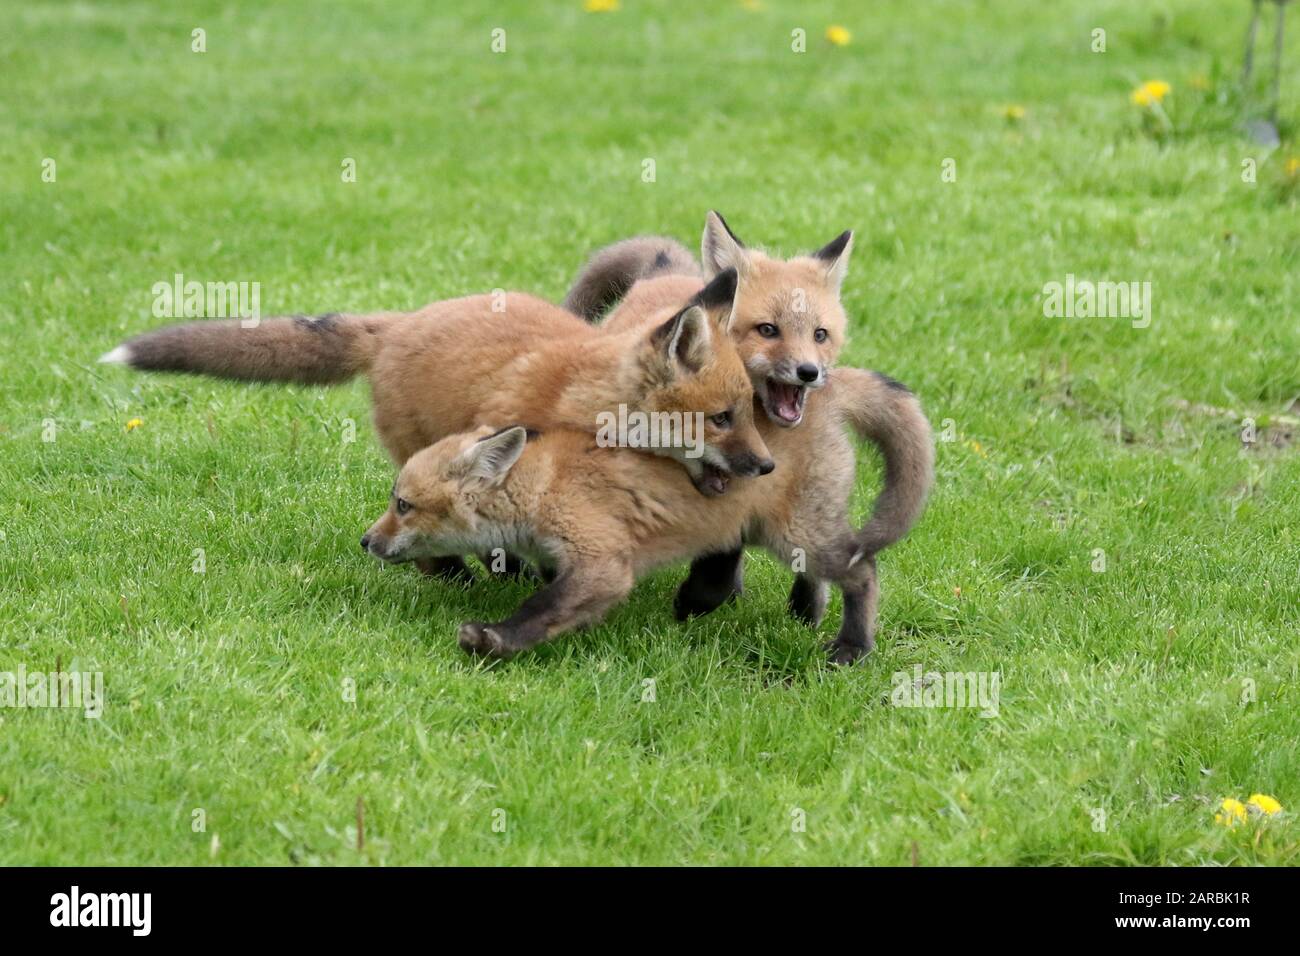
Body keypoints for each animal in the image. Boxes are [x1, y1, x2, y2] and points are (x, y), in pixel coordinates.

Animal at [102, 268, 772, 579]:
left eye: (749, 411)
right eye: (721, 418)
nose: (765, 465)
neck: (583, 398)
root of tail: (398, 322)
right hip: (413, 450)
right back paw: (450, 575)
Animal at [562, 212, 935, 661]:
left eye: (820, 335)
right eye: (768, 330)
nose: (810, 372)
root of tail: (671, 275)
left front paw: (701, 599)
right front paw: (704, 598)